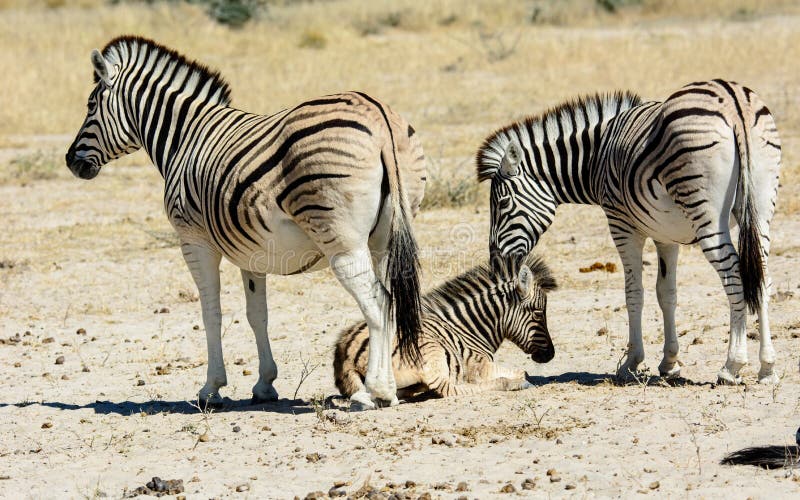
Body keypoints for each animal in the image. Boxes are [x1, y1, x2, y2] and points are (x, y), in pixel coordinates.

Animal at [64, 36, 427, 410]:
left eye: (90, 105)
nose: (70, 161)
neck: (184, 138)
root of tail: (378, 117)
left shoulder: (194, 242)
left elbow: (211, 312)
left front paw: (211, 389)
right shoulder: (250, 251)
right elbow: (257, 315)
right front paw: (265, 384)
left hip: (342, 242)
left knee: (377, 301)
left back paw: (374, 391)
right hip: (383, 239)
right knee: (391, 298)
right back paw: (386, 388)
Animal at [334, 253, 557, 404]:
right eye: (538, 313)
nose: (551, 355)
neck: (468, 329)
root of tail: (346, 355)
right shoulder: (480, 366)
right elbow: (523, 371)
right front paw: (520, 379)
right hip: (431, 351)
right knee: (448, 389)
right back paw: (511, 384)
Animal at [476, 80, 781, 385]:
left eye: (502, 203)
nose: (496, 265)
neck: (596, 155)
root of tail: (732, 101)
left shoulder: (621, 225)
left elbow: (633, 292)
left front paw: (632, 362)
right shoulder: (665, 235)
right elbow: (666, 293)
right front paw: (669, 363)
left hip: (707, 215)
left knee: (735, 276)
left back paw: (732, 365)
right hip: (761, 210)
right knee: (763, 278)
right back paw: (767, 367)